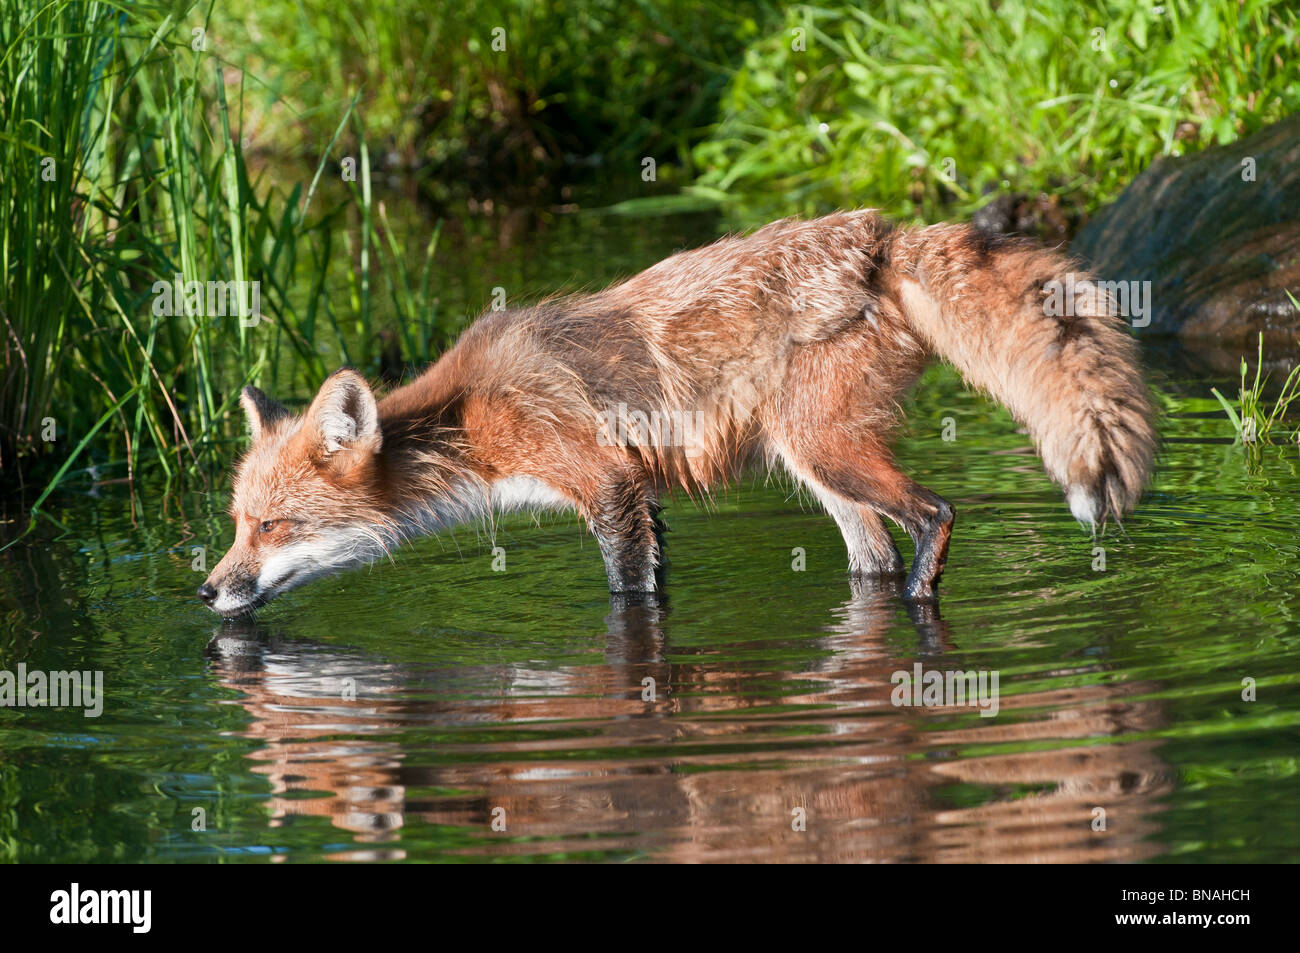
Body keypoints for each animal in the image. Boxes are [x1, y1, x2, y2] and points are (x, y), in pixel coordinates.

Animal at [198, 210, 1155, 617]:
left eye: (274, 527)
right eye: (238, 524)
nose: (206, 589)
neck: (471, 423)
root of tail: (885, 236)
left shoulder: (605, 484)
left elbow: (629, 596)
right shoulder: (642, 491)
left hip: (826, 451)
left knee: (939, 513)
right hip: (820, 470)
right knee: (875, 558)